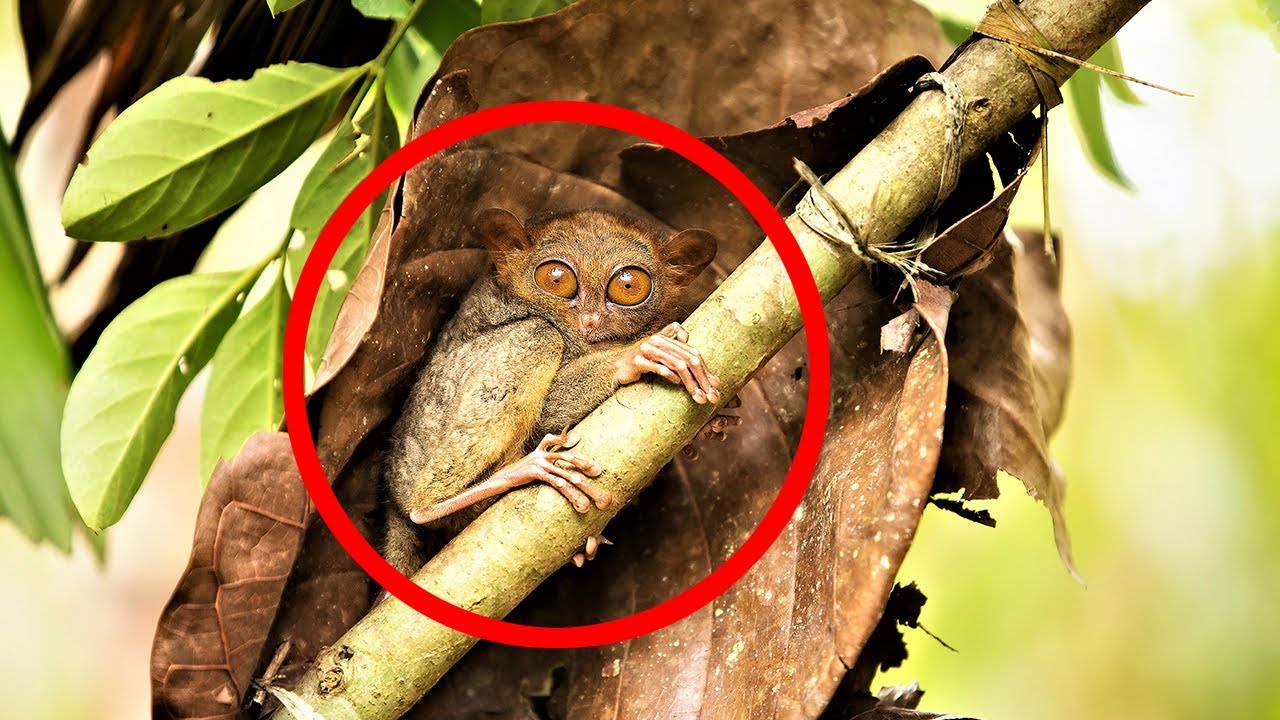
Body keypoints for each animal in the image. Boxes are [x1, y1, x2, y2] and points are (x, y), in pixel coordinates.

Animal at [381, 207, 721, 578]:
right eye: (557, 279)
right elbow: (547, 411)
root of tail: (394, 496)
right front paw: (634, 355)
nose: (590, 320)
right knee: (539, 332)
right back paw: (516, 473)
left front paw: (719, 420)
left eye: (629, 286)